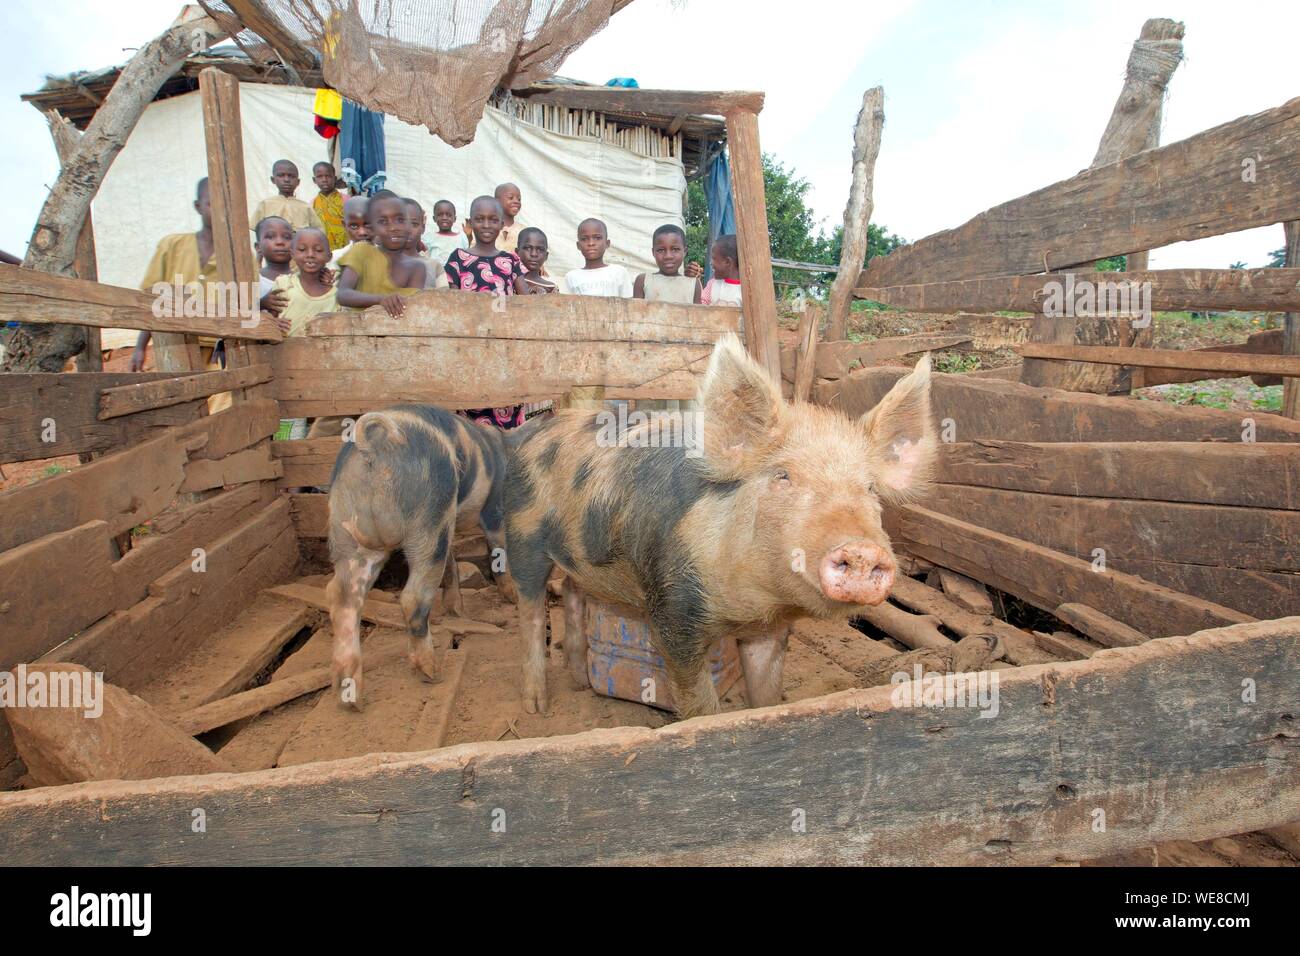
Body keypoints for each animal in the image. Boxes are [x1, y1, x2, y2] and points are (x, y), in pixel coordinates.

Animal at [326, 405, 520, 707]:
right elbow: (497, 549)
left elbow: (452, 564)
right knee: (412, 597)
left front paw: (457, 610)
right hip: (429, 515)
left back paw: (351, 697)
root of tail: (374, 445)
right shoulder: (491, 507)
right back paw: (432, 671)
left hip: (347, 529)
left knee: (343, 599)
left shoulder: (450, 523)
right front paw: (512, 598)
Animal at [505, 332, 936, 718]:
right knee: (531, 608)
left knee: (572, 589)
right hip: (522, 534)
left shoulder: (768, 631)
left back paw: (578, 681)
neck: (755, 602)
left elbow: (766, 696)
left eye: (870, 487)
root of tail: (536, 429)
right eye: (783, 476)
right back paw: (536, 707)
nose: (862, 551)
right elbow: (699, 706)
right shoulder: (673, 612)